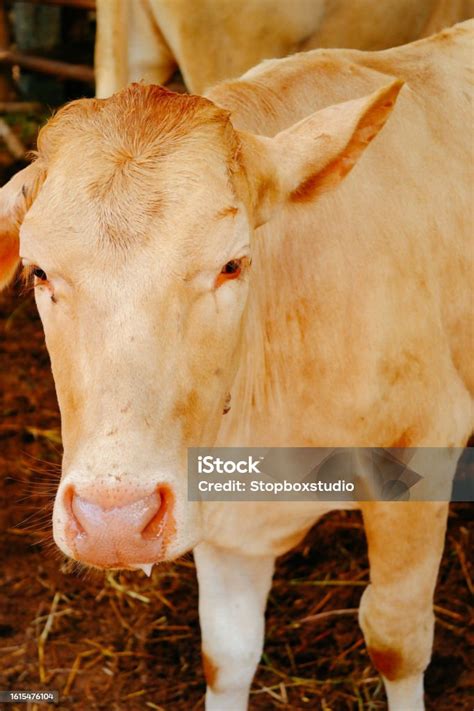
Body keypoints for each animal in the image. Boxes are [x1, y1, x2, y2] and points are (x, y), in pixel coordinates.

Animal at [1, 20, 472, 711]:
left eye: (232, 263)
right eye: (38, 272)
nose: (116, 522)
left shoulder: (423, 448)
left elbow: (396, 637)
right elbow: (226, 656)